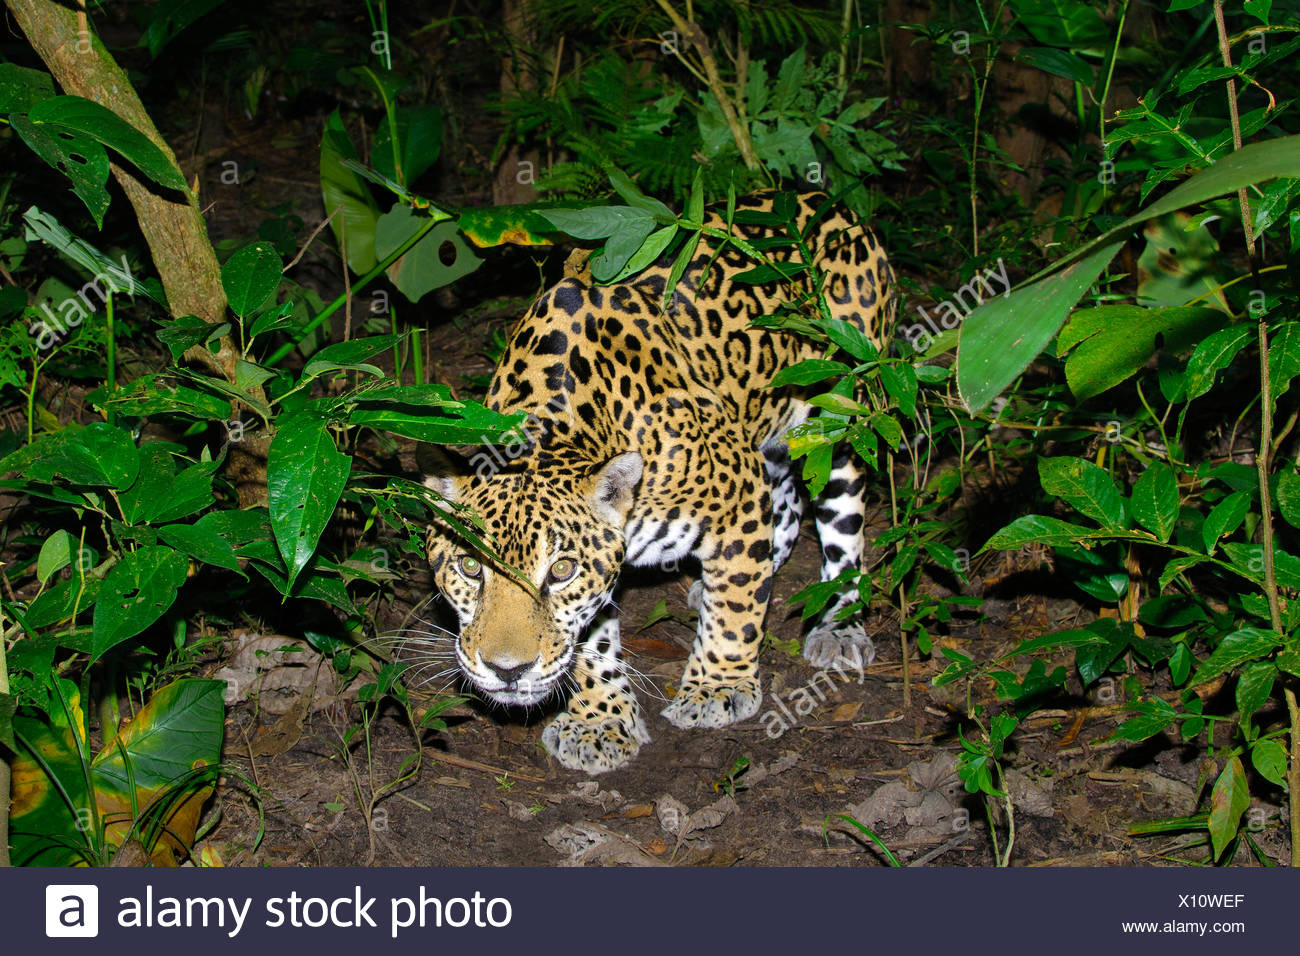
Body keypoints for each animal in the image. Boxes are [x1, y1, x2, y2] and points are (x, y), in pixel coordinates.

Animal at [422, 190, 895, 774]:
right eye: (469, 568)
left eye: (560, 571)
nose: (507, 669)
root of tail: (830, 202)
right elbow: (591, 642)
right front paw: (597, 721)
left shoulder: (738, 495)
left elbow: (737, 607)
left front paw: (717, 688)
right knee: (784, 502)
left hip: (843, 417)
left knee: (841, 526)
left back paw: (839, 624)